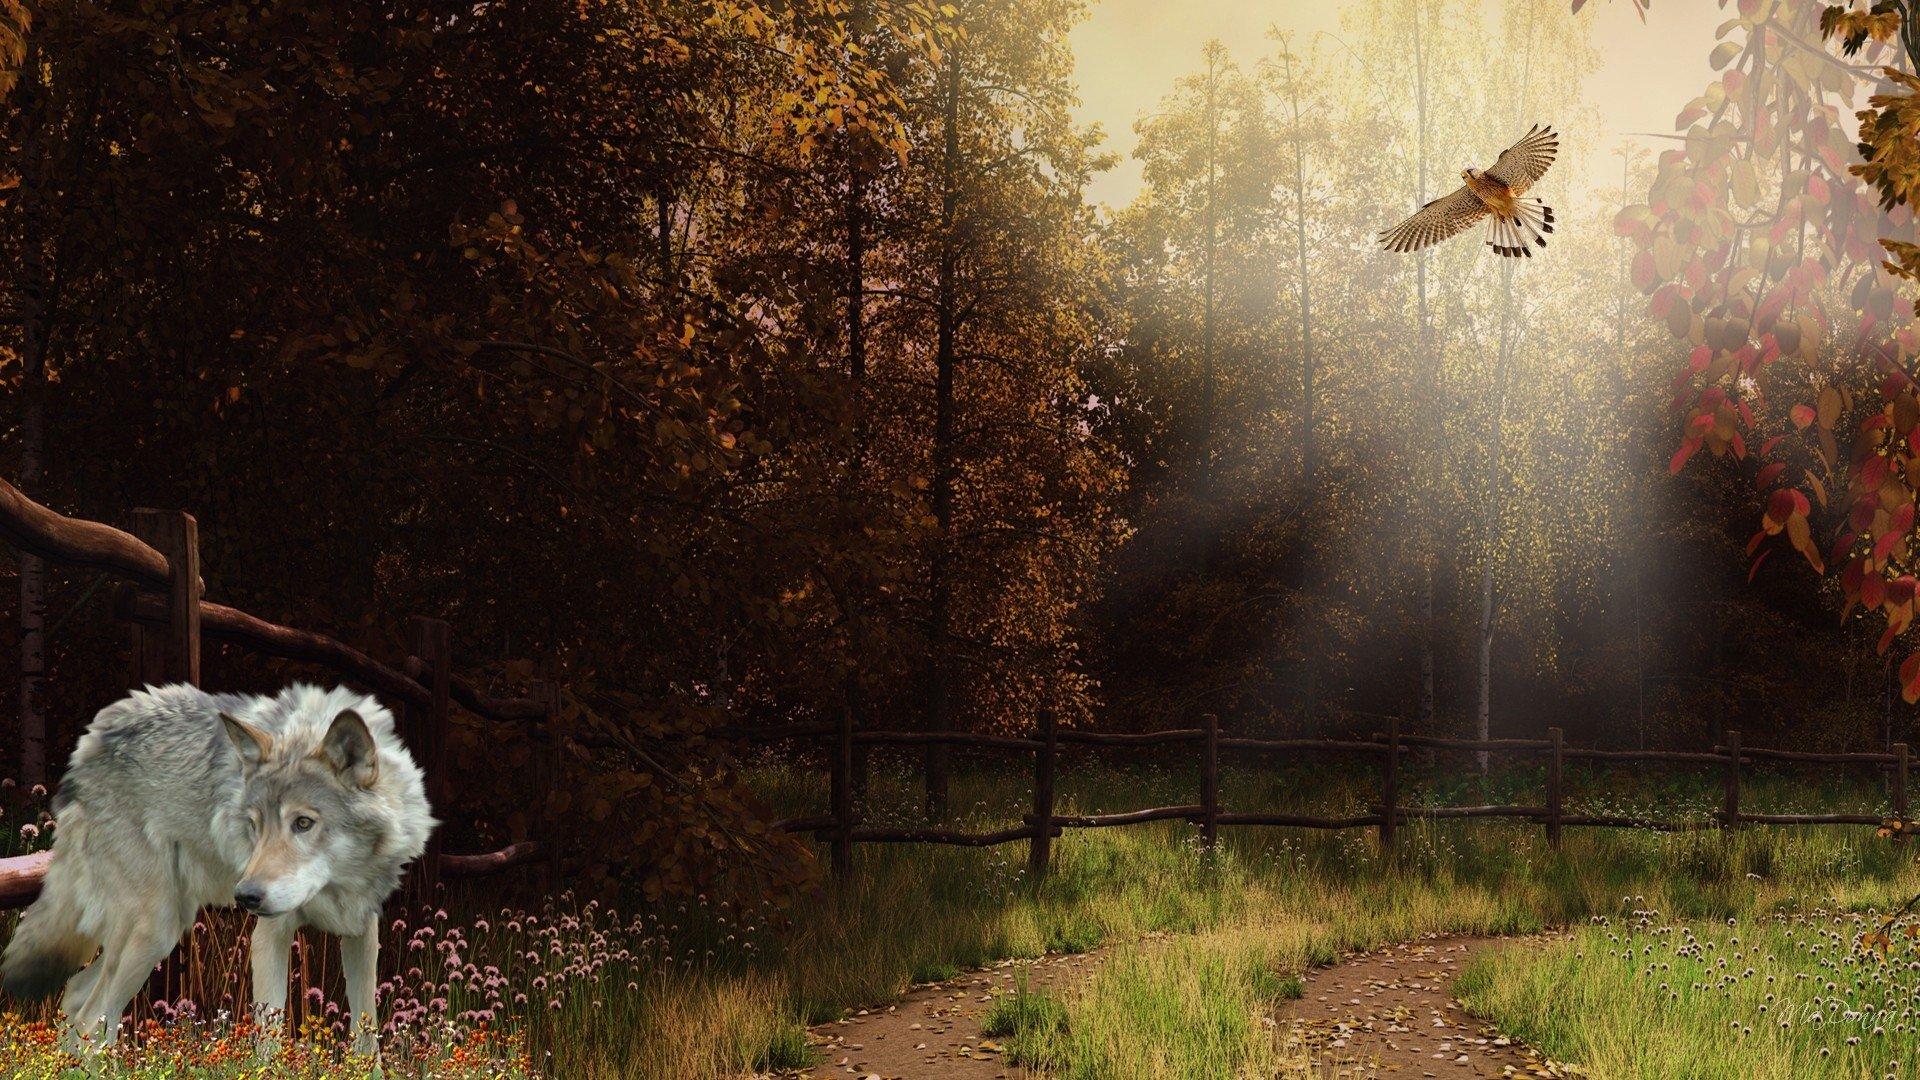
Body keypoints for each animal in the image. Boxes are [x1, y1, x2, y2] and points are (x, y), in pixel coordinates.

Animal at [1, 682, 436, 1059]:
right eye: (254, 825)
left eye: (303, 823)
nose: (246, 896)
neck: (340, 882)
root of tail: (88, 747)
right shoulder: (270, 934)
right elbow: (270, 1045)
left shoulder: (362, 930)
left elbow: (368, 1040)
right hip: (152, 933)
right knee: (93, 1019)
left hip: (153, 934)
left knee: (77, 997)